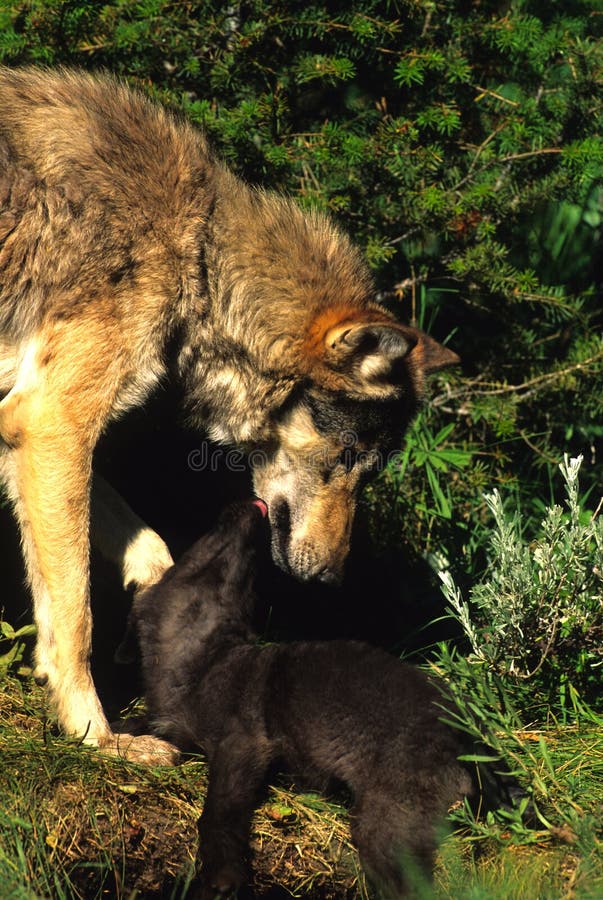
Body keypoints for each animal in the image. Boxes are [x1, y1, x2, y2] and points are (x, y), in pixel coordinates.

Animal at [0, 67, 458, 759]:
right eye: (351, 458)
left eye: (372, 470)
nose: (331, 580)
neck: (202, 256)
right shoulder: (54, 422)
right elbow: (74, 612)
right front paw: (98, 736)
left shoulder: (22, 425)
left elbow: (151, 549)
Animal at [129, 499, 490, 899]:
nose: (253, 504)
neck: (203, 667)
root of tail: (467, 739)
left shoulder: (244, 743)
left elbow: (217, 810)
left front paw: (220, 873)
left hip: (383, 828)